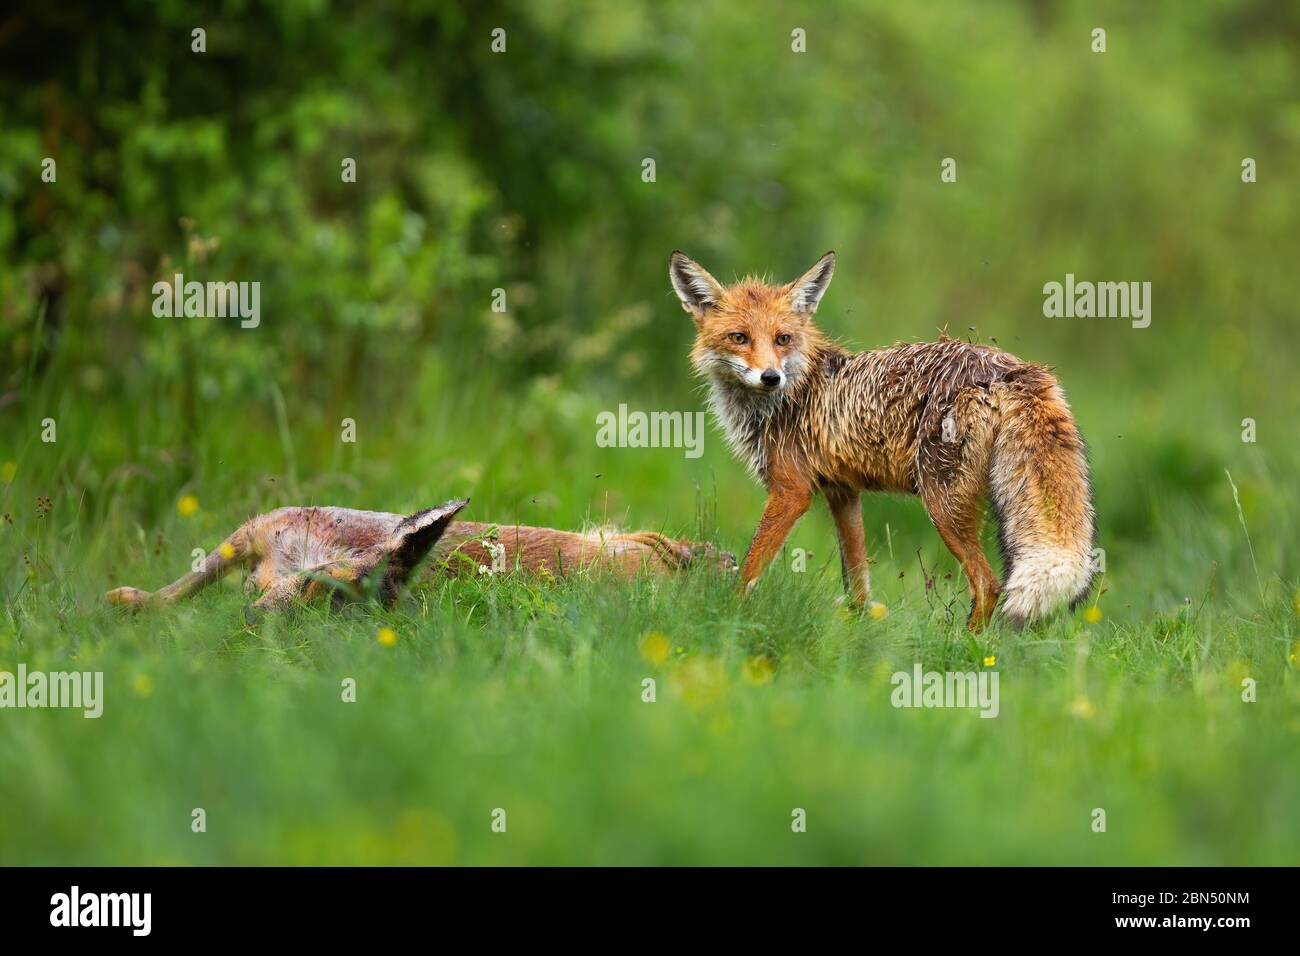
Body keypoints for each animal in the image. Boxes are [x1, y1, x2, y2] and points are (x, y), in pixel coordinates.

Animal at [669, 250, 1096, 630]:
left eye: (782, 338)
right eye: (739, 337)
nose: (771, 377)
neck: (795, 392)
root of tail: (1008, 367)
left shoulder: (792, 491)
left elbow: (750, 569)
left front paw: (727, 617)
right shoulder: (843, 493)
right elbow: (858, 585)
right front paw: (858, 634)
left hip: (942, 504)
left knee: (989, 584)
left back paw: (964, 646)